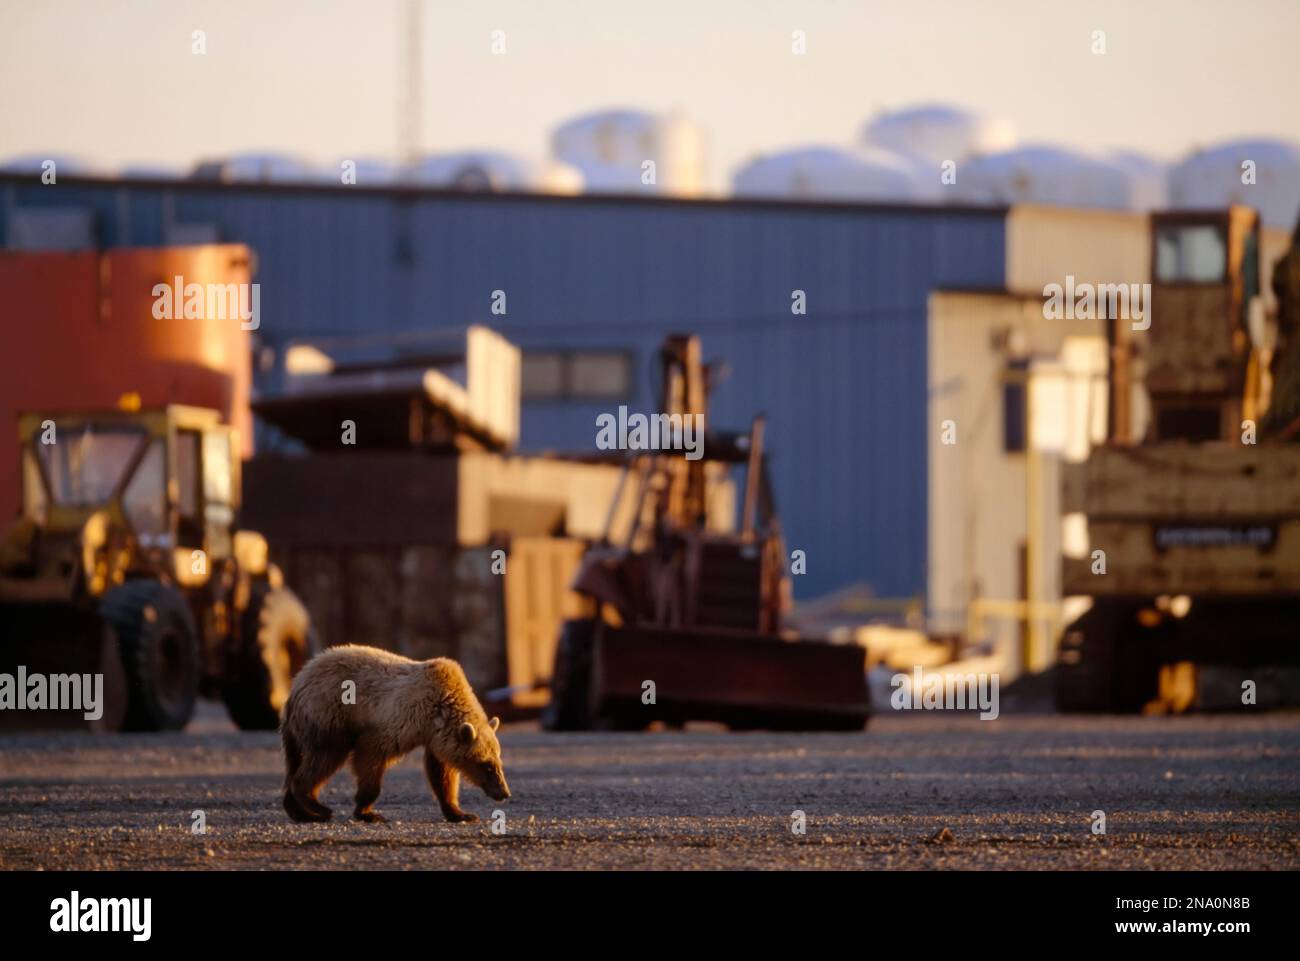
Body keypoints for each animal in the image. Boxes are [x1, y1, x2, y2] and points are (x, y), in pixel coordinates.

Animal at [279, 644, 510, 824]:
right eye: (486, 764)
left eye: (498, 761)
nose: (504, 793)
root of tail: (296, 685)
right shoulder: (398, 720)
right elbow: (371, 757)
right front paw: (368, 812)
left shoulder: (435, 737)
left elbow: (441, 773)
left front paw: (461, 813)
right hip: (329, 714)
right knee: (324, 756)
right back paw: (319, 807)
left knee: (297, 761)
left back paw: (301, 812)